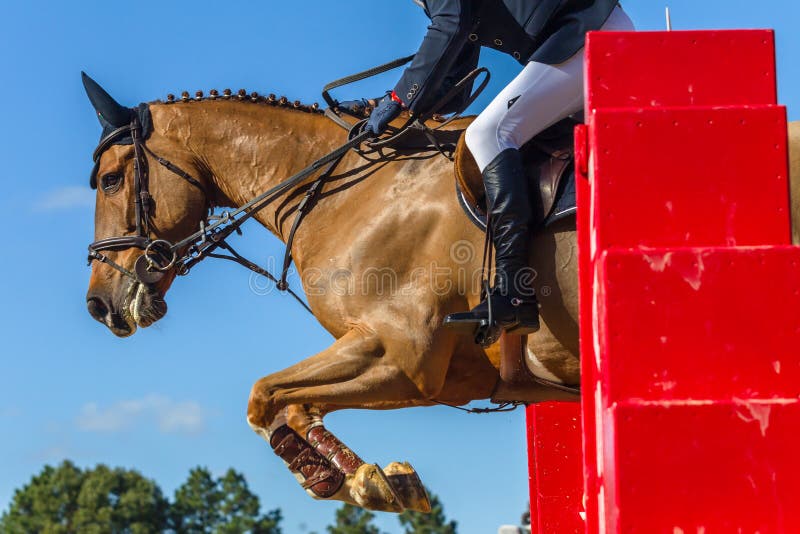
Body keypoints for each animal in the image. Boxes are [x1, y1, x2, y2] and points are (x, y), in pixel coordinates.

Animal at [82, 74, 800, 513]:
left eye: (113, 179)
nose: (100, 304)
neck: (340, 192)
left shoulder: (401, 354)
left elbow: (266, 394)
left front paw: (362, 482)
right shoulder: (450, 378)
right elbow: (285, 403)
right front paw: (367, 477)